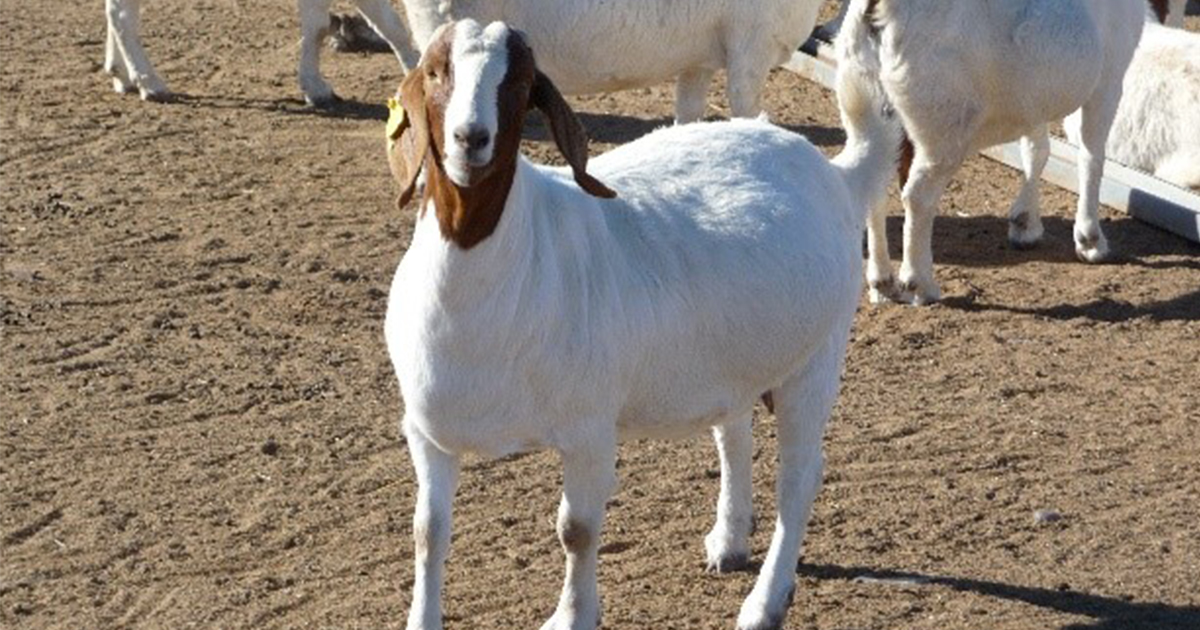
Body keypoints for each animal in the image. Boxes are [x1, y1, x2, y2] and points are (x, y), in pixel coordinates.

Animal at [102, 0, 418, 106]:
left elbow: (391, 25)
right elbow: (318, 26)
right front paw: (315, 89)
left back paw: (122, 75)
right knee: (121, 14)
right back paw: (149, 83)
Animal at [385, 18, 898, 630]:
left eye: (523, 83)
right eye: (436, 72)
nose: (470, 139)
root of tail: (837, 175)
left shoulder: (588, 430)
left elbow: (577, 532)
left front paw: (572, 616)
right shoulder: (427, 432)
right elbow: (427, 533)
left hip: (815, 358)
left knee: (799, 479)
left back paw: (764, 602)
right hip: (733, 360)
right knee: (734, 431)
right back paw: (729, 540)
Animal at [836, 0, 1146, 305]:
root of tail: (878, 9)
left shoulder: (1032, 102)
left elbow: (1037, 151)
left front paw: (1025, 224)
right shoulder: (1109, 77)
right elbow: (1092, 156)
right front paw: (1090, 240)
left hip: (865, 100)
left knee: (875, 182)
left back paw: (882, 283)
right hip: (945, 122)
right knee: (918, 196)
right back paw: (920, 284)